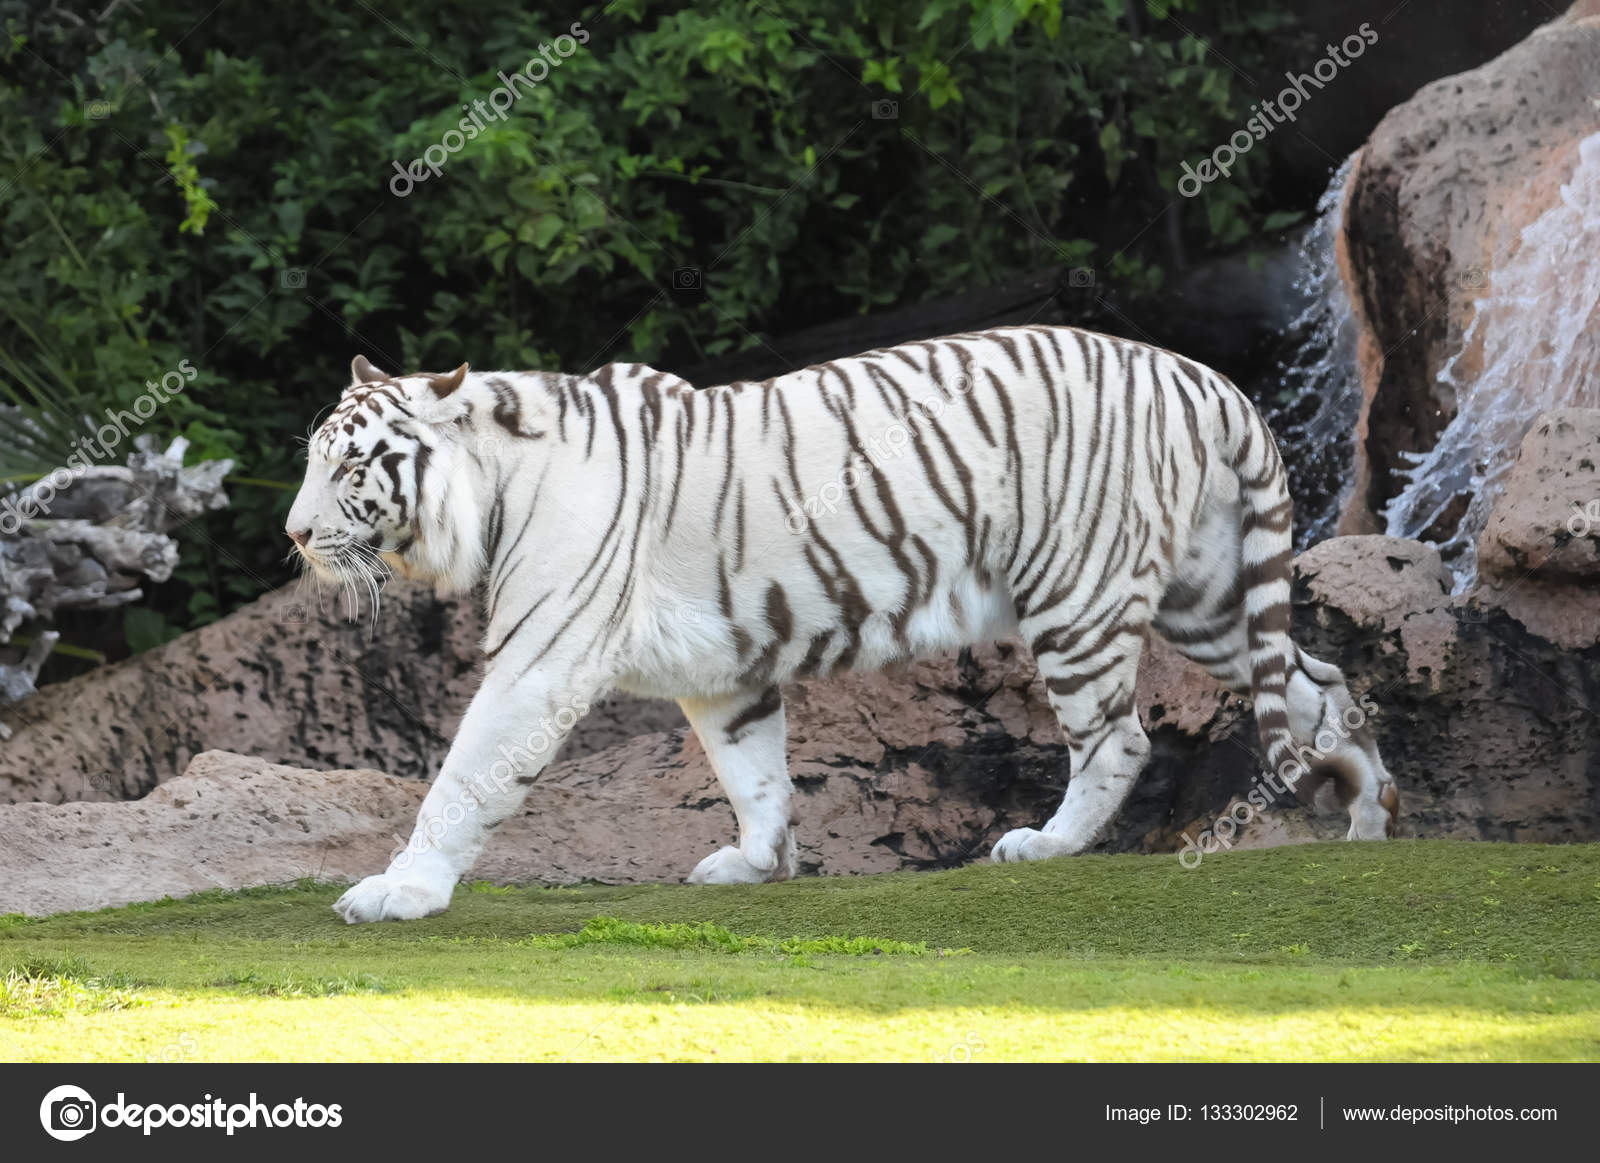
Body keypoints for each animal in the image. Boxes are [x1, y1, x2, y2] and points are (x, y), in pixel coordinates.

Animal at [286, 326, 1400, 924]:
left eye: (350, 466)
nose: (293, 532)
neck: (492, 486)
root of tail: (1204, 377)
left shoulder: (538, 662)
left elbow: (461, 780)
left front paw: (396, 891)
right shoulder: (722, 672)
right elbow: (756, 773)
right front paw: (754, 863)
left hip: (1076, 595)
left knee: (1119, 737)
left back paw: (1043, 844)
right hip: (1206, 595)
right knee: (1318, 685)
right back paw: (1368, 816)